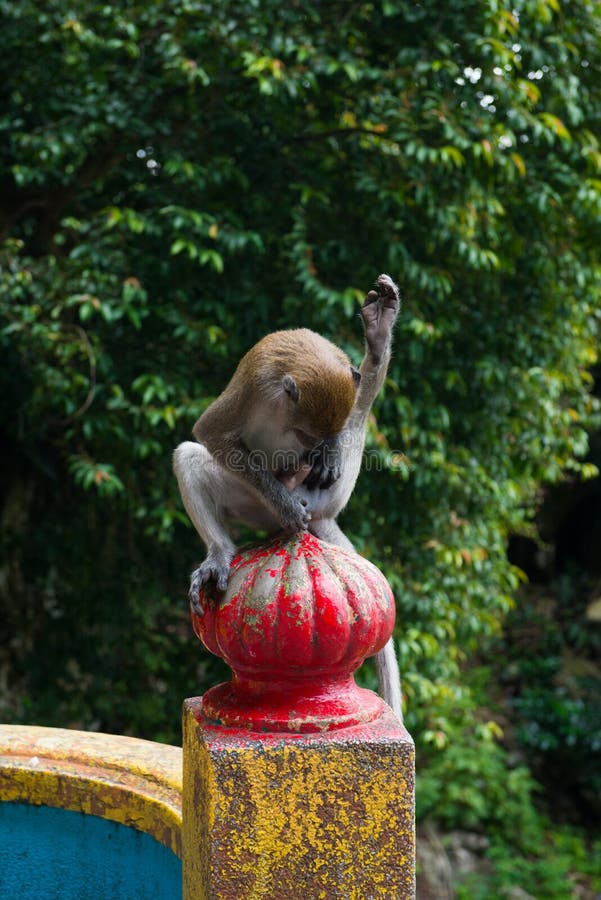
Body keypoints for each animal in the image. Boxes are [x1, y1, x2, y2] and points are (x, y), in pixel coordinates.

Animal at [173, 273, 403, 720]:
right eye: (303, 434)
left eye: (318, 437)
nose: (315, 450)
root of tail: (322, 517)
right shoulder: (254, 386)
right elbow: (209, 432)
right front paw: (282, 498)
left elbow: (350, 412)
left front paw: (329, 453)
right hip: (253, 507)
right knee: (189, 456)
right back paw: (222, 552)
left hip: (330, 496)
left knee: (359, 408)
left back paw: (378, 337)